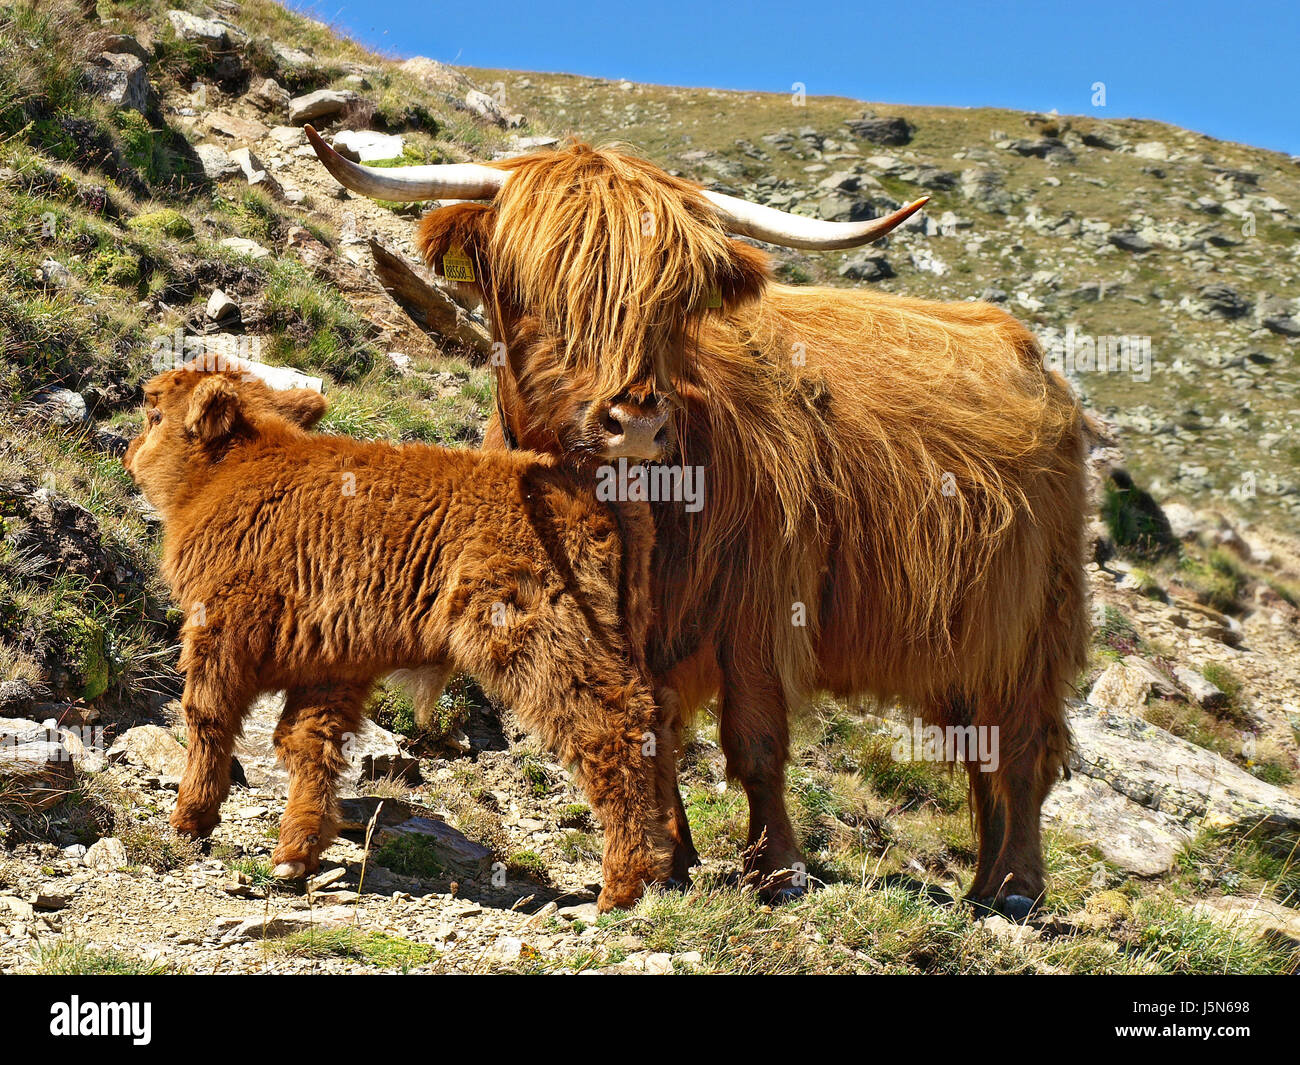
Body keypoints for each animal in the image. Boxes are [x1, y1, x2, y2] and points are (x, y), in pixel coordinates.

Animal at [124, 367, 670, 911]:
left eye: (154, 412)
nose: (128, 453)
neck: (233, 468)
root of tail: (589, 483)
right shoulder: (331, 666)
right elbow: (307, 742)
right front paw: (296, 854)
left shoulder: (220, 633)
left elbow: (207, 719)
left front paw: (190, 820)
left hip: (544, 642)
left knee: (611, 730)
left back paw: (622, 886)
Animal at [307, 130, 1090, 919]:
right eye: (538, 290)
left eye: (670, 304)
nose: (635, 420)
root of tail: (1029, 354)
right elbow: (653, 725)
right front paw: (670, 862)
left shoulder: (761, 605)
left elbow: (756, 743)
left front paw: (776, 870)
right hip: (968, 642)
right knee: (981, 747)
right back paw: (983, 886)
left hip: (1036, 622)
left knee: (1024, 746)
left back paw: (1017, 888)